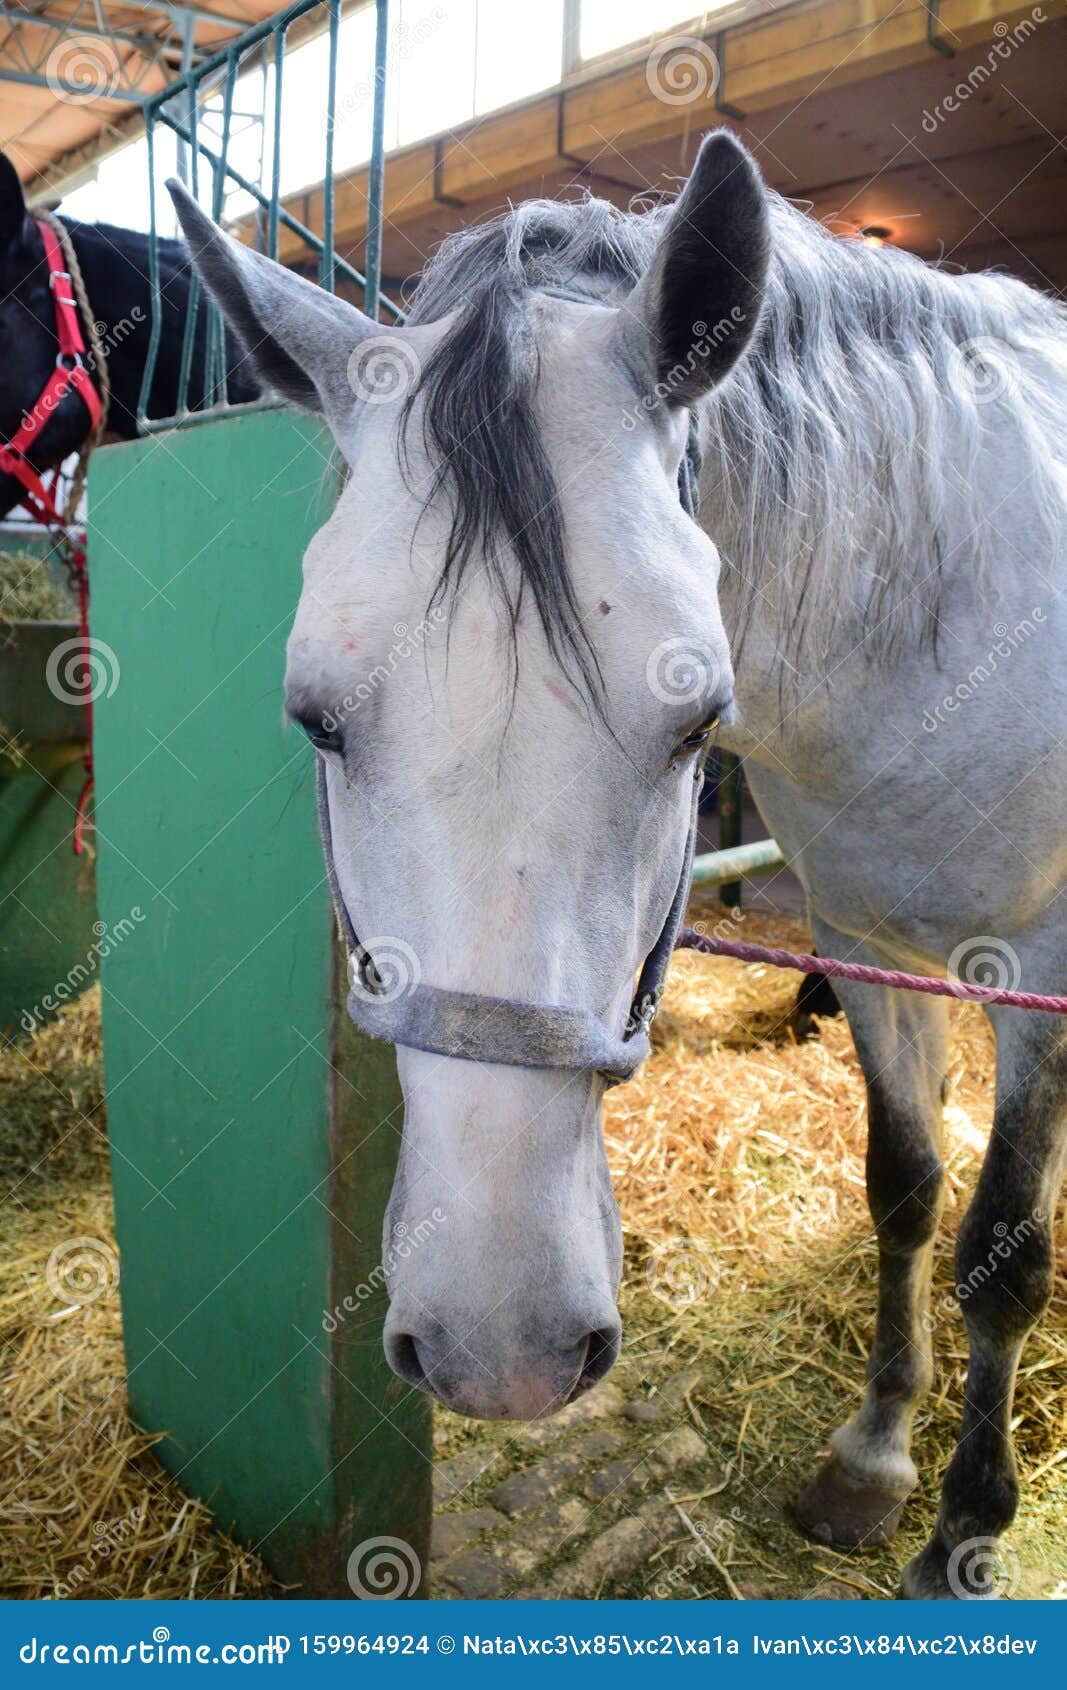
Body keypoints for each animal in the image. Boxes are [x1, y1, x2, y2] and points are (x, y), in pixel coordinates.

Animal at [168, 129, 1066, 1600]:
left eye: (697, 724)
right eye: (313, 718)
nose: (501, 1346)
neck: (936, 621)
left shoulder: (1036, 971)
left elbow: (1002, 1248)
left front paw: (965, 1527)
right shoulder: (861, 940)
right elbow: (903, 1185)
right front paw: (873, 1455)